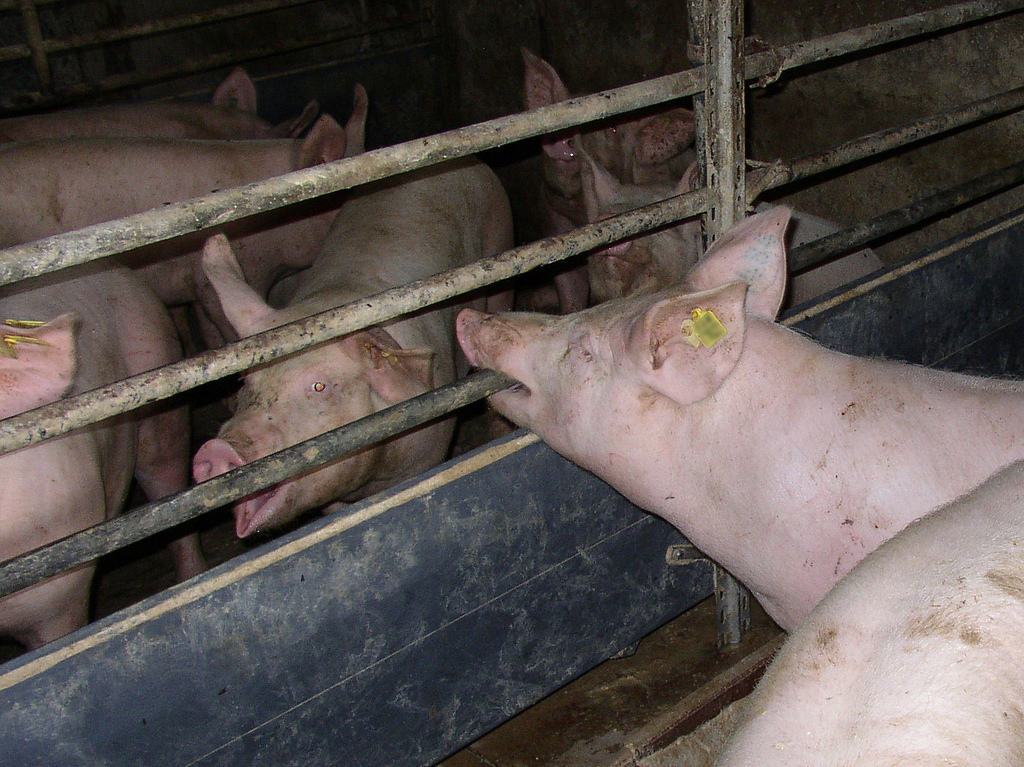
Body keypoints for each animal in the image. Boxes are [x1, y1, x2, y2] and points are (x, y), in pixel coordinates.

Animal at [522, 48, 696, 313]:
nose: (563, 139)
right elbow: (569, 291)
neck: (580, 210)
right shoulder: (555, 223)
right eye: (558, 120)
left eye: (611, 127)